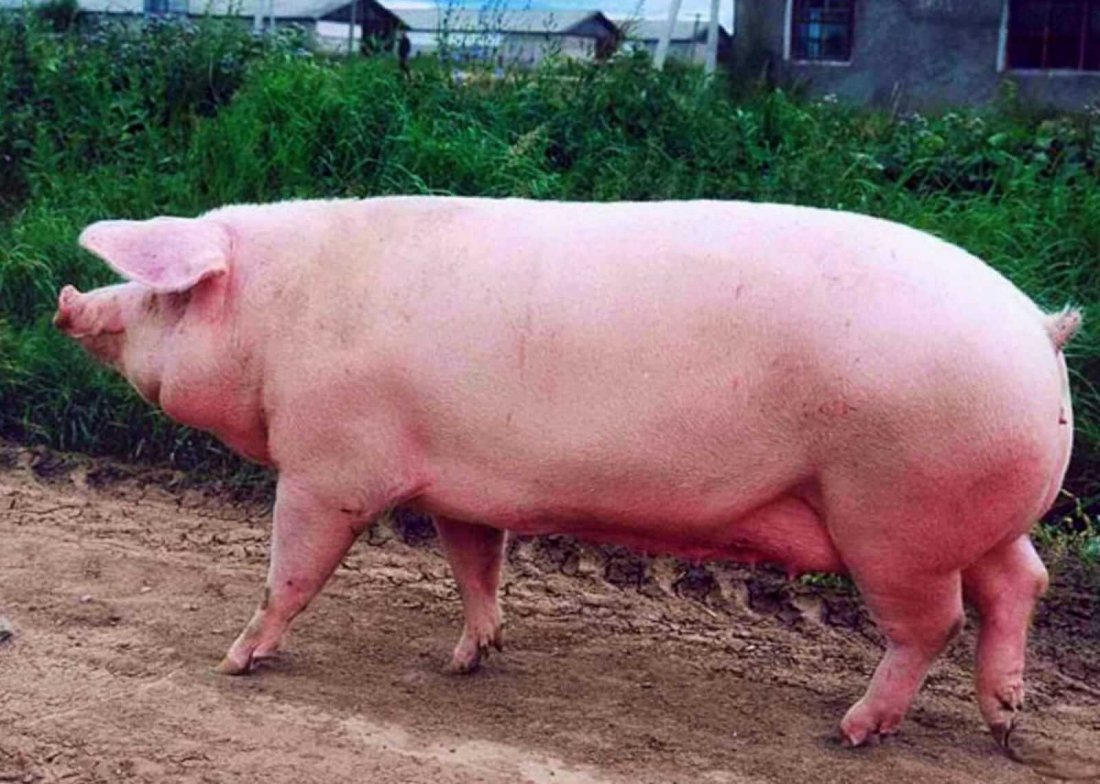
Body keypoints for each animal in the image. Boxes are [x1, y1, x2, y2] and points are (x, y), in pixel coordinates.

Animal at [53, 197, 1079, 749]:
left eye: (161, 295)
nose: (69, 302)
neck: (280, 318)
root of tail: (1039, 328)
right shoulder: (460, 484)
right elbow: (477, 565)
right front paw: (467, 660)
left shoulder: (328, 466)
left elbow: (292, 570)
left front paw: (232, 661)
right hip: (972, 516)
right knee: (1020, 582)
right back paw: (1005, 724)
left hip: (896, 516)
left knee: (935, 621)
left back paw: (853, 731)